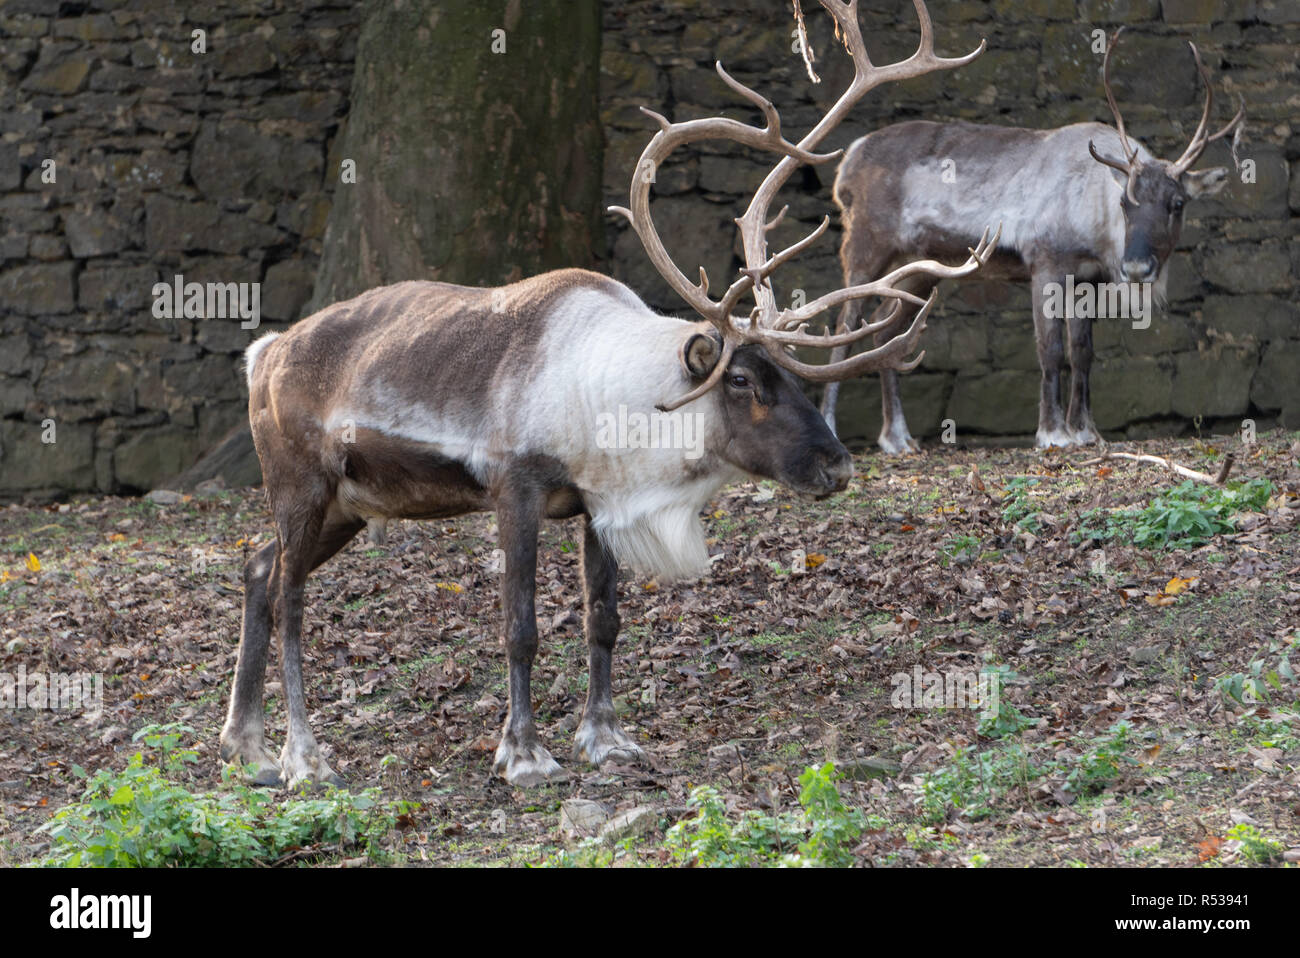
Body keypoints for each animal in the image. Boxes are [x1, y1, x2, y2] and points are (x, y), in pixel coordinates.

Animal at [218, 0, 996, 789]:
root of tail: (264, 353)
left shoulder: (600, 503)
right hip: (302, 482)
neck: (618, 402)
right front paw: (524, 753)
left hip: (349, 503)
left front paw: (607, 738)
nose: (837, 466)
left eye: (799, 378)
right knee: (289, 596)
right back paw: (304, 756)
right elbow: (521, 627)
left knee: (256, 566)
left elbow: (604, 620)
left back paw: (247, 744)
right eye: (741, 378)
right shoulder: (516, 488)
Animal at [818, 28, 1245, 453]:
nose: (1137, 268)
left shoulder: (1087, 279)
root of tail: (847, 162)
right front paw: (1052, 432)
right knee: (844, 329)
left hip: (920, 269)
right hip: (865, 246)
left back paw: (898, 438)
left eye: (1178, 203)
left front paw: (1085, 430)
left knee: (885, 330)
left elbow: (1083, 352)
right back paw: (834, 428)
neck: (1095, 220)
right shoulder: (1046, 265)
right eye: (1126, 202)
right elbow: (1050, 350)